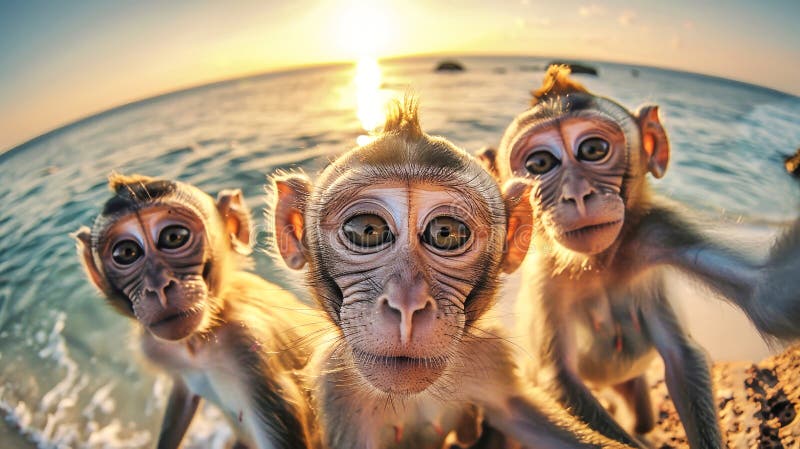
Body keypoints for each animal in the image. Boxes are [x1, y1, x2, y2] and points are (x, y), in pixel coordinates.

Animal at [73, 174, 322, 449]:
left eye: (174, 237)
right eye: (127, 253)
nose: (158, 285)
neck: (203, 339)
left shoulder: (251, 350)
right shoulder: (158, 347)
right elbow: (183, 395)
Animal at [477, 65, 800, 449]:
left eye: (593, 149)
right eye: (540, 163)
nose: (577, 195)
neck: (598, 263)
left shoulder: (659, 229)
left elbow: (763, 295)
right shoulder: (546, 276)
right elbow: (558, 376)